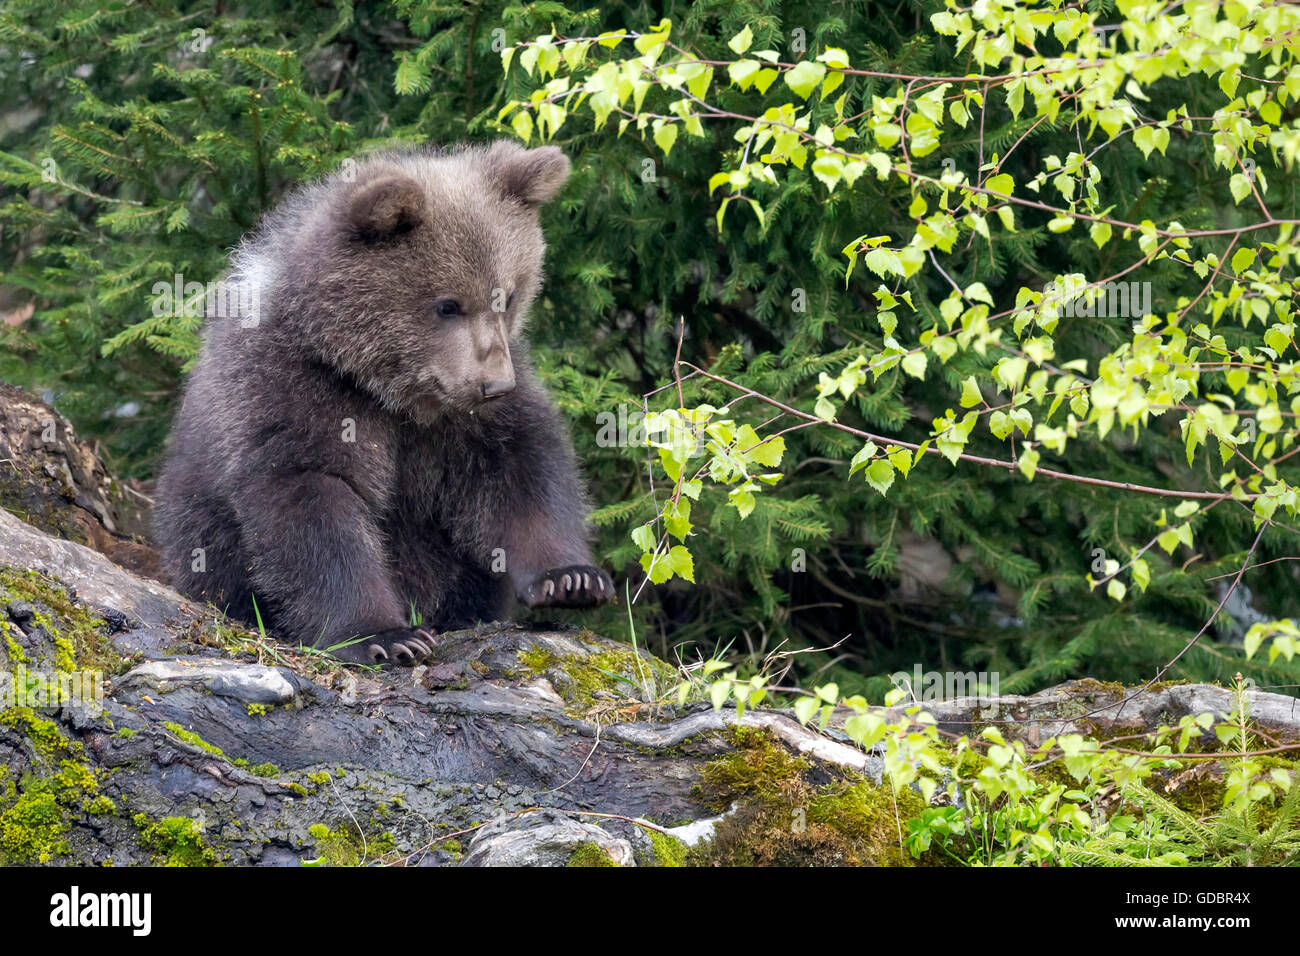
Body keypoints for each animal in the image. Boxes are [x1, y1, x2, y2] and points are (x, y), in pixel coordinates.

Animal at [153, 141, 614, 666]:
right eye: (447, 304)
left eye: (509, 295)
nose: (494, 385)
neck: (389, 390)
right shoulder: (292, 390)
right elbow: (313, 496)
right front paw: (387, 635)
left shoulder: (465, 420)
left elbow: (519, 469)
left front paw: (571, 579)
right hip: (197, 524)